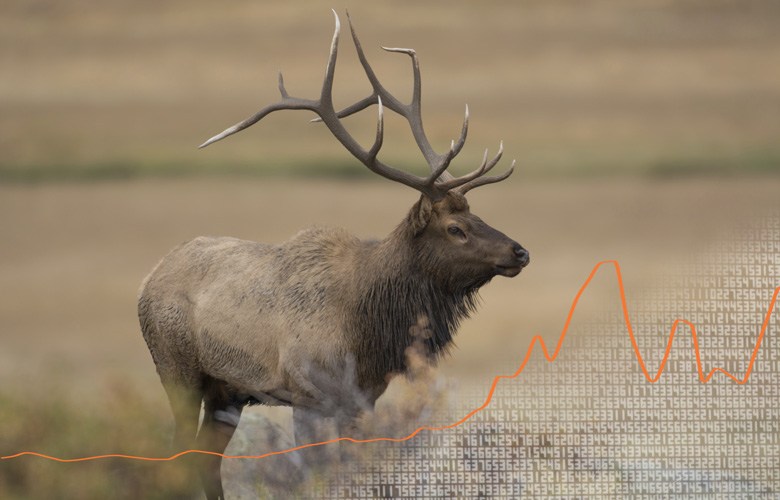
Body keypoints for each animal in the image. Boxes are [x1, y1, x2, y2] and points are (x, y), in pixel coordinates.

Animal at [138, 11, 529, 500]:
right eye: (455, 228)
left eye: (477, 215)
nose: (519, 251)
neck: (367, 331)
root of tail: (147, 280)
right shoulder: (307, 395)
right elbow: (315, 475)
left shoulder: (362, 400)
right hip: (176, 368)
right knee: (177, 452)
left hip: (227, 390)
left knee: (207, 460)